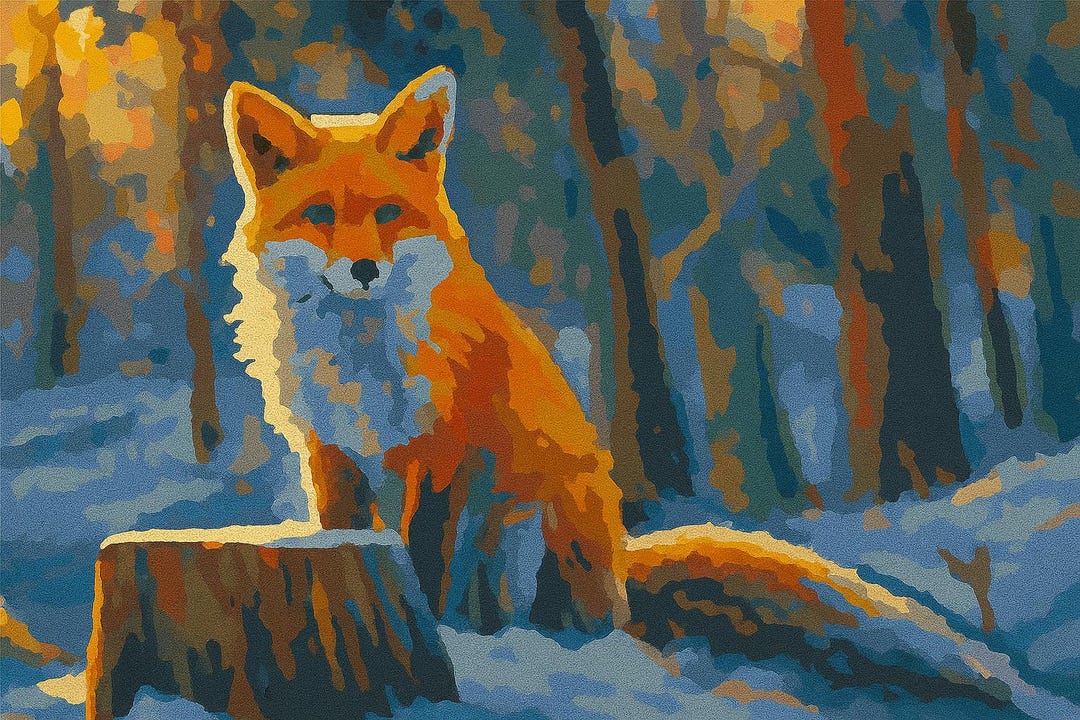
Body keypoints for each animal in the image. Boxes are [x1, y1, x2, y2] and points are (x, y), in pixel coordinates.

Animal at [220, 66, 1029, 709]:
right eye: (320, 215)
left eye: (388, 214)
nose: (363, 271)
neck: (360, 353)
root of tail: (620, 564)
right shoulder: (330, 453)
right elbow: (350, 533)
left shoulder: (445, 454)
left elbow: (424, 562)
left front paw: (444, 644)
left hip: (527, 526)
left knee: (574, 627)